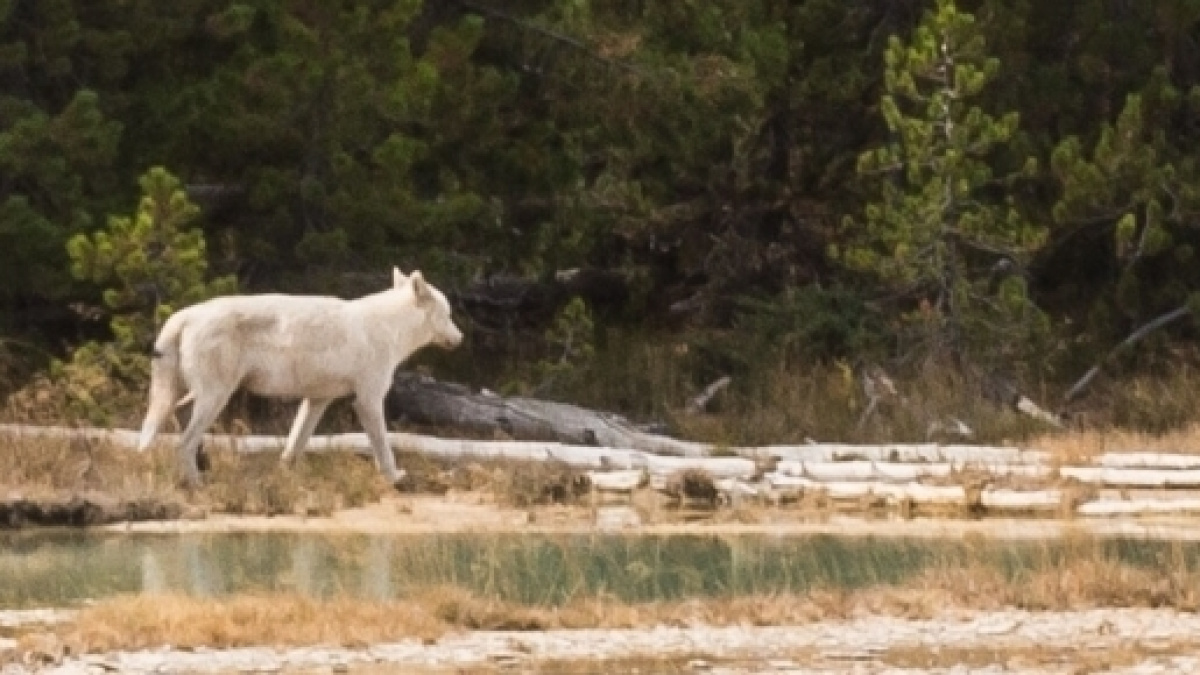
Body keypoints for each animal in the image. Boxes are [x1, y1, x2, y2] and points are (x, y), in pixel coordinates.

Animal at [136, 268, 463, 487]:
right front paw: (395, 477)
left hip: (194, 394)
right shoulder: (368, 399)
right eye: (449, 314)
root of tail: (183, 315)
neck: (390, 328)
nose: (459, 338)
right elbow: (383, 445)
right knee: (183, 442)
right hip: (217, 395)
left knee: (178, 420)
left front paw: (285, 475)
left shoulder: (317, 400)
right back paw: (197, 484)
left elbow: (296, 442)